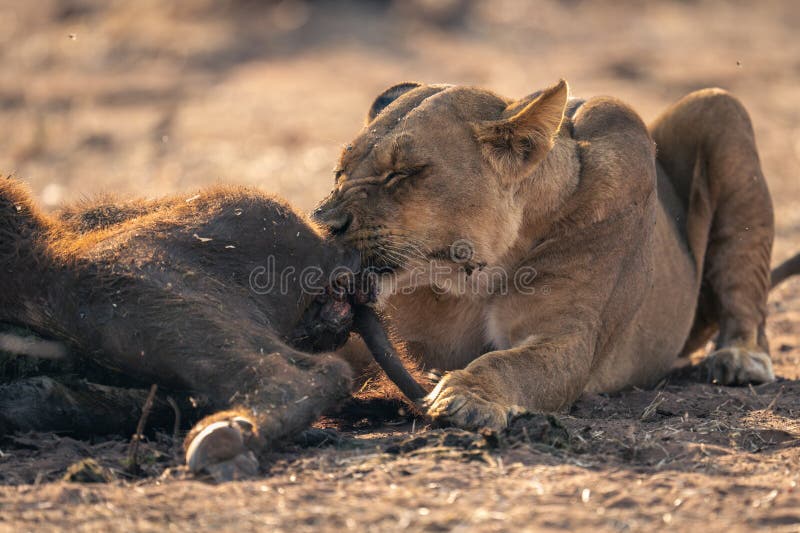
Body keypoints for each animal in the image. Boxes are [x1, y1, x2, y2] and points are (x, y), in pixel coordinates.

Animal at [313, 79, 800, 431]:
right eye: (340, 172)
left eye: (403, 173)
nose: (323, 222)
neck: (470, 278)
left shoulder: (569, 338)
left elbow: (509, 363)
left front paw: (464, 395)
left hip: (717, 107)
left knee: (744, 289)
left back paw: (740, 358)